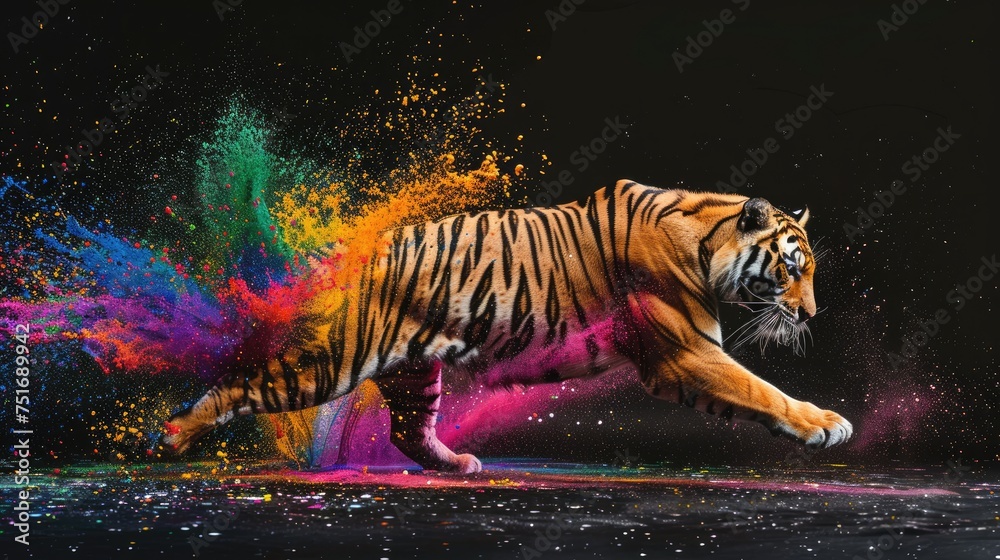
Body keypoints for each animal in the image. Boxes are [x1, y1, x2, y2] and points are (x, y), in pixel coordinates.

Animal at [159, 179, 853, 473]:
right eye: (792, 267)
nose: (812, 314)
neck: (707, 238)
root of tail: (363, 249)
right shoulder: (685, 353)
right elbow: (764, 392)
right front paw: (826, 423)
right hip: (332, 363)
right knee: (245, 384)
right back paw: (174, 433)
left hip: (414, 370)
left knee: (409, 431)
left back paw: (458, 463)